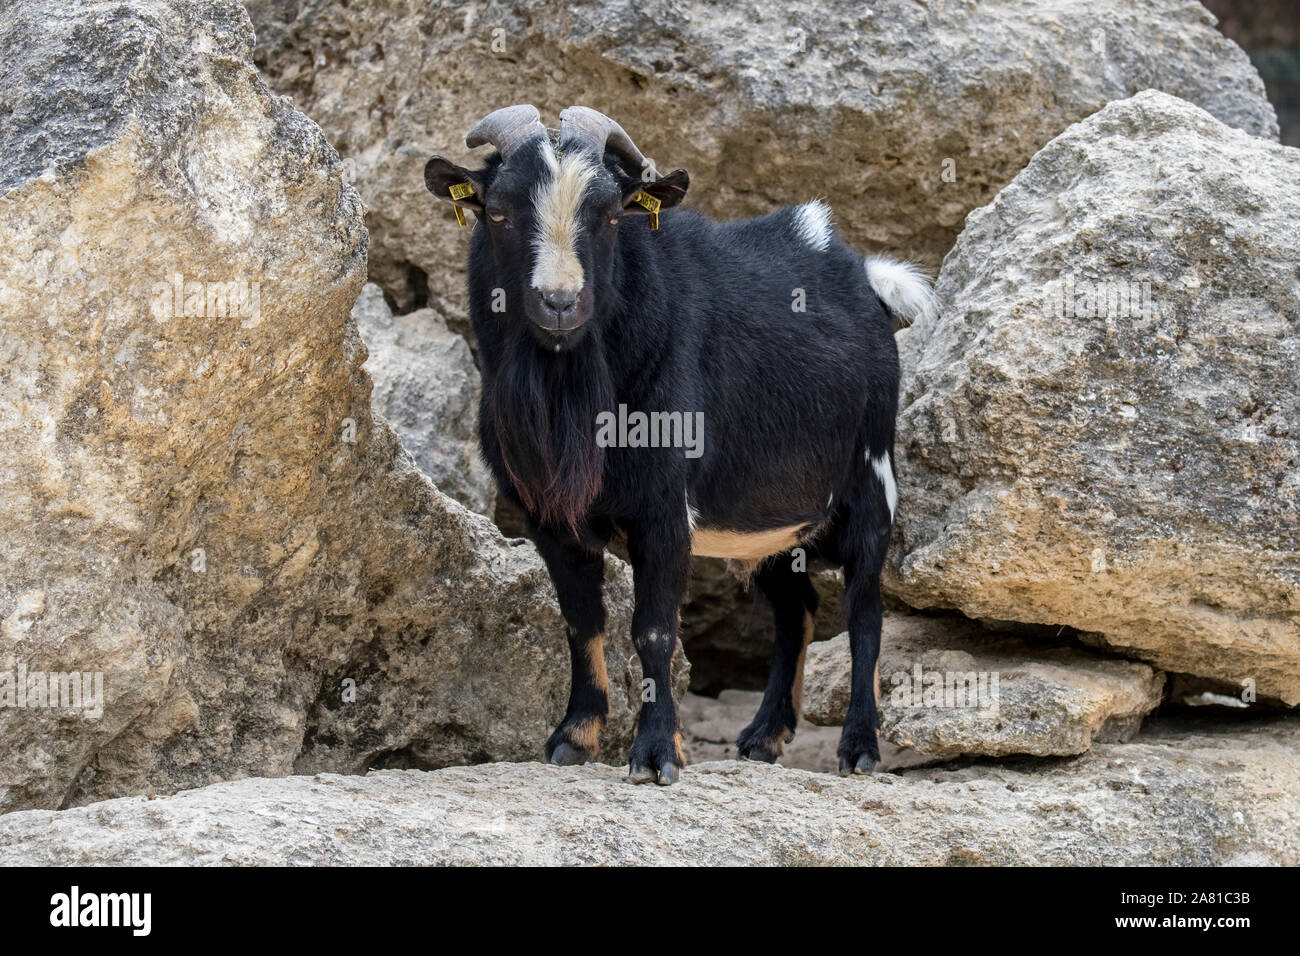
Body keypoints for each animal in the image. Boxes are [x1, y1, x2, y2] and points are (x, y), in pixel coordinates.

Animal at [425, 105, 933, 785]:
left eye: (611, 216)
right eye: (499, 211)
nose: (560, 302)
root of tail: (863, 275)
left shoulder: (664, 509)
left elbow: (655, 630)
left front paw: (657, 754)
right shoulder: (547, 516)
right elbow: (580, 620)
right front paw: (574, 736)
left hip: (872, 478)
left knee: (864, 609)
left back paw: (859, 747)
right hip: (772, 520)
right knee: (794, 607)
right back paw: (764, 737)